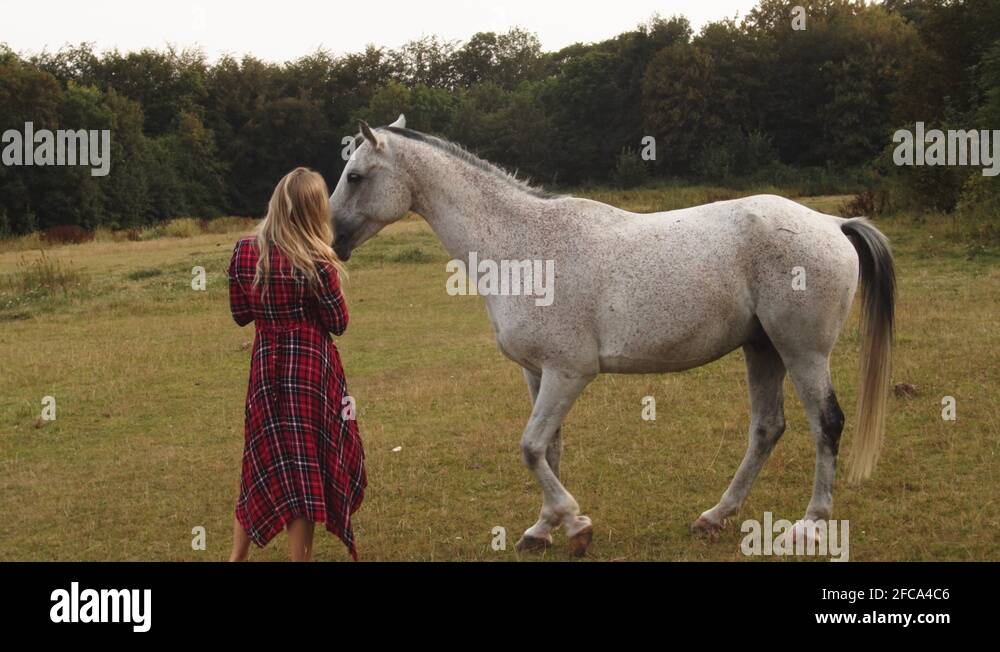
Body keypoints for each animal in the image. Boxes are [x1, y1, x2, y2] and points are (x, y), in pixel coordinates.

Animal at [329, 115, 895, 557]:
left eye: (354, 175)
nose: (332, 242)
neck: (525, 245)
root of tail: (832, 223)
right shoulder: (538, 373)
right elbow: (549, 449)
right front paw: (542, 529)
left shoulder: (568, 372)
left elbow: (531, 447)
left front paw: (576, 524)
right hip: (763, 349)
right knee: (766, 429)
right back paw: (715, 516)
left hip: (803, 352)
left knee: (826, 423)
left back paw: (809, 526)